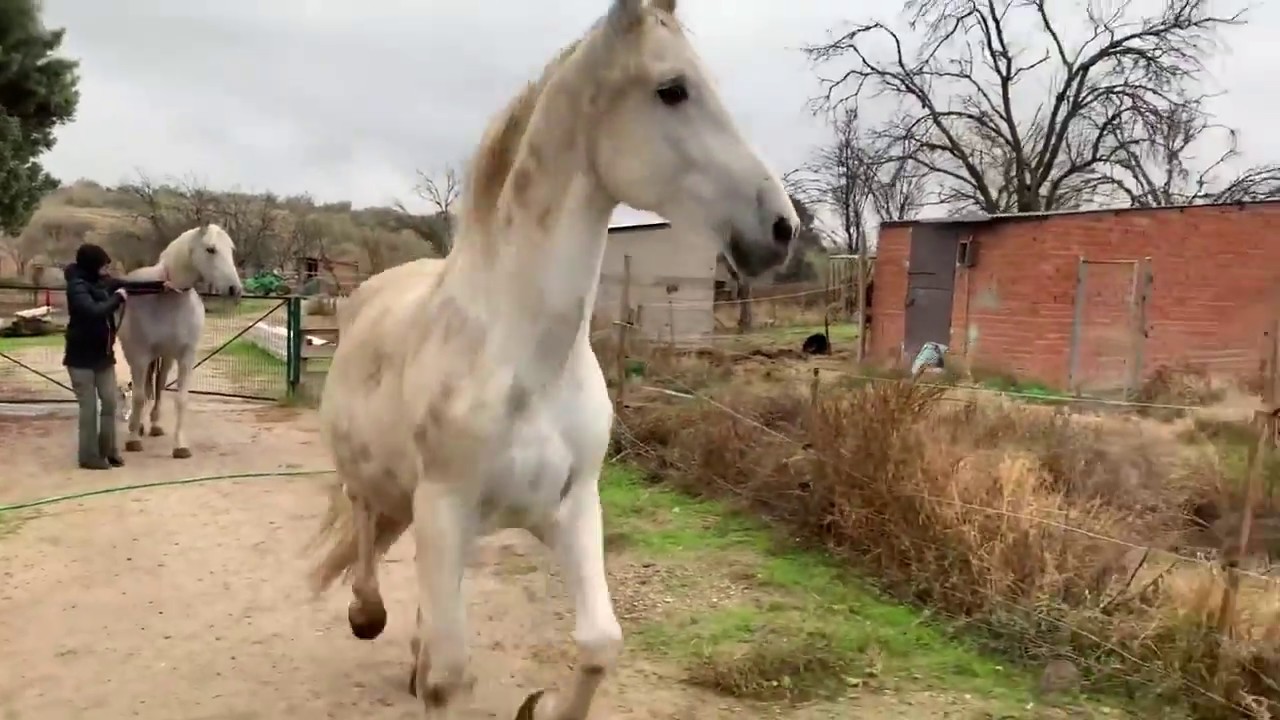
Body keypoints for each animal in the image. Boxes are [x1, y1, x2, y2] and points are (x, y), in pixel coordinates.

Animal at [116, 223, 243, 459]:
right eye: (210, 249)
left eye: (231, 249)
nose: (235, 290)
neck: (166, 296)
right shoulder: (139, 356)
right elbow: (138, 396)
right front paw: (133, 440)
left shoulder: (185, 356)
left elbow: (180, 399)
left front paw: (180, 446)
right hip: (137, 357)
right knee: (143, 390)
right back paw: (138, 427)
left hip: (165, 357)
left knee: (158, 386)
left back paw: (155, 425)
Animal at [308, 1, 799, 717]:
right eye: (672, 89)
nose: (782, 229)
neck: (523, 360)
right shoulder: (444, 508)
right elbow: (448, 676)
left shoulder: (569, 509)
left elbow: (598, 643)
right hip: (376, 477)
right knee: (365, 519)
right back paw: (366, 613)